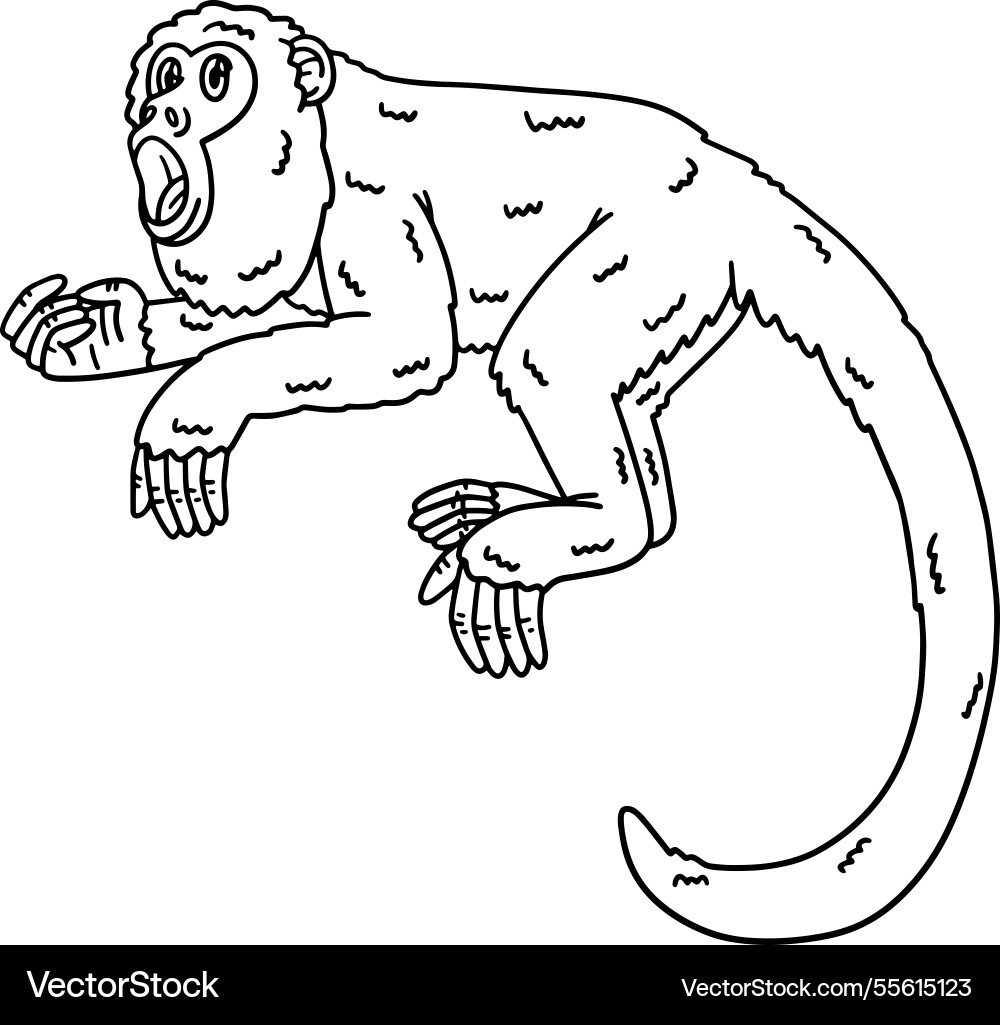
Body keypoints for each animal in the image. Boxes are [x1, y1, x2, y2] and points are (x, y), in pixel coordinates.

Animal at [4, 3, 995, 944]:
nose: (160, 113)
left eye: (214, 78)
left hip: (648, 258)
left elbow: (403, 348)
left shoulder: (371, 208)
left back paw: (542, 536)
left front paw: (191, 407)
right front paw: (108, 328)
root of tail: (733, 180)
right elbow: (253, 316)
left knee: (544, 359)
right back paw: (528, 510)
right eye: (161, 77)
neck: (314, 151)